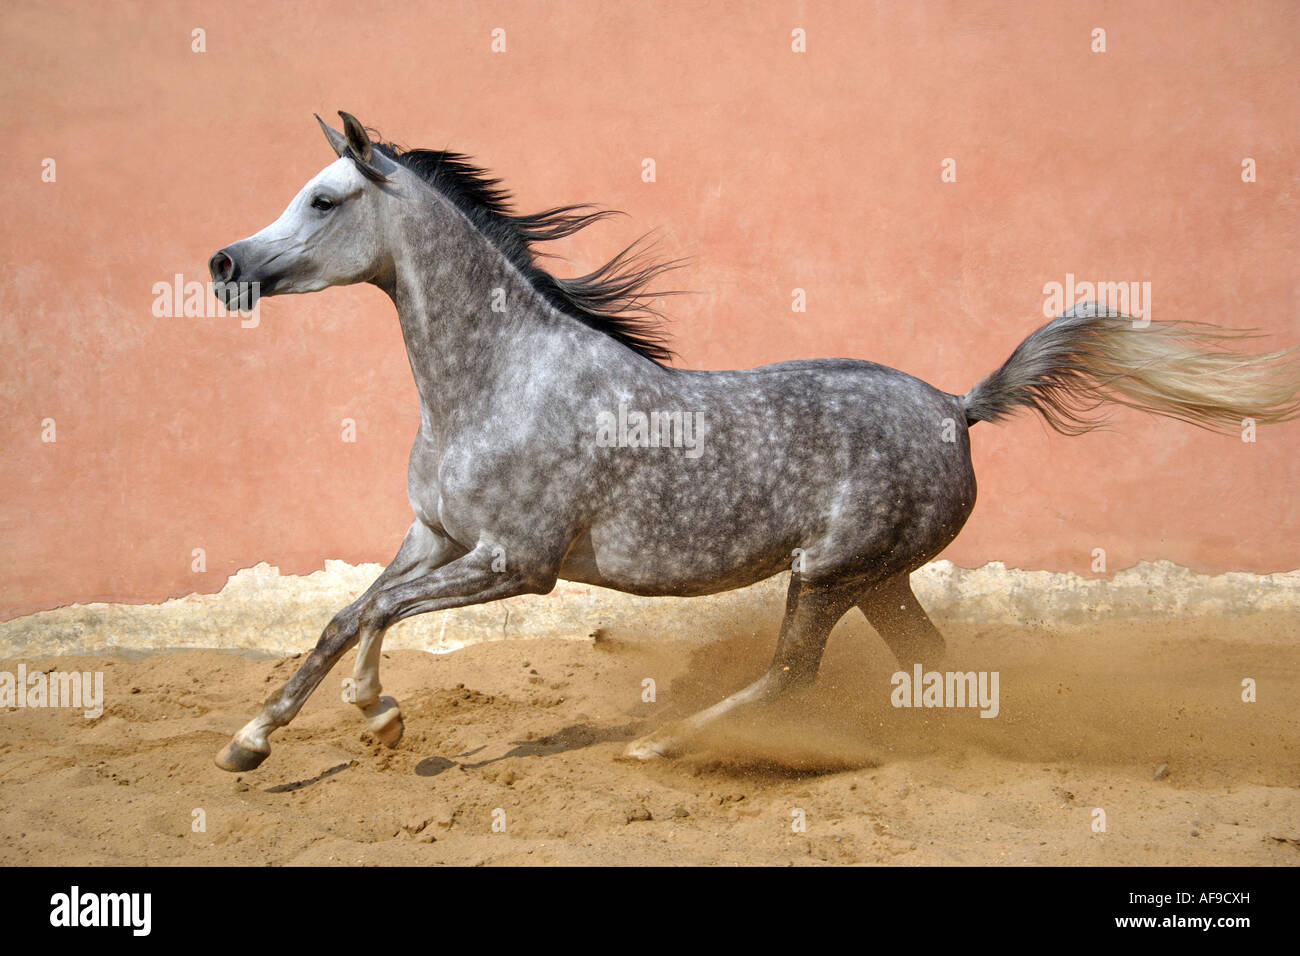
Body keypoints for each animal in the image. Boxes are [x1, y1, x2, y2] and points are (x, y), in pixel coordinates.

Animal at [208, 111, 1300, 771]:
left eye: (324, 199)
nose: (224, 263)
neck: (498, 382)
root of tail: (957, 406)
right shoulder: (435, 534)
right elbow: (350, 613)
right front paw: (283, 732)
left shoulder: (516, 563)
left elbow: (373, 612)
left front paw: (334, 723)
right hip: (878, 578)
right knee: (928, 658)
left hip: (828, 573)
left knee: (792, 674)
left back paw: (666, 747)